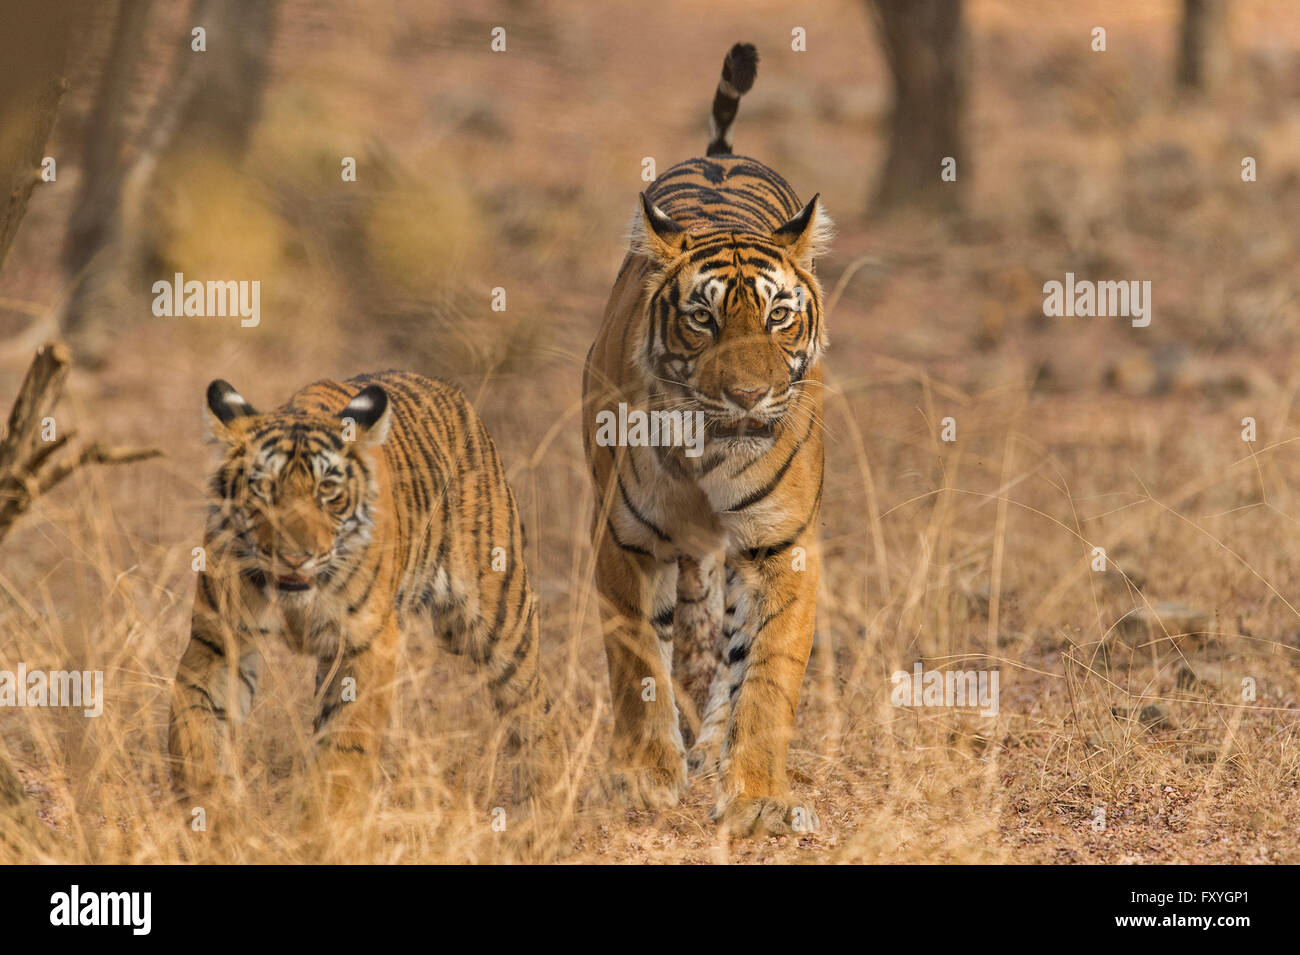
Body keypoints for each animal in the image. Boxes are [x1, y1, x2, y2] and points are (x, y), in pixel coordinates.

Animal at [168, 370, 549, 818]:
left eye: (328, 492)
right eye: (263, 488)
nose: (295, 558)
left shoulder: (366, 646)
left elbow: (346, 745)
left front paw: (326, 821)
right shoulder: (217, 640)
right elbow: (197, 727)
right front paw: (208, 812)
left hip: (494, 618)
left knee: (532, 700)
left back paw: (544, 806)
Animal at [581, 42, 831, 836]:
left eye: (779, 316)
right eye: (703, 318)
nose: (748, 396)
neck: (707, 450)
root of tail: (720, 154)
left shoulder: (784, 544)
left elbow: (768, 674)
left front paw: (755, 794)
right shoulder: (623, 539)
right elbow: (637, 666)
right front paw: (644, 775)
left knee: (728, 645)